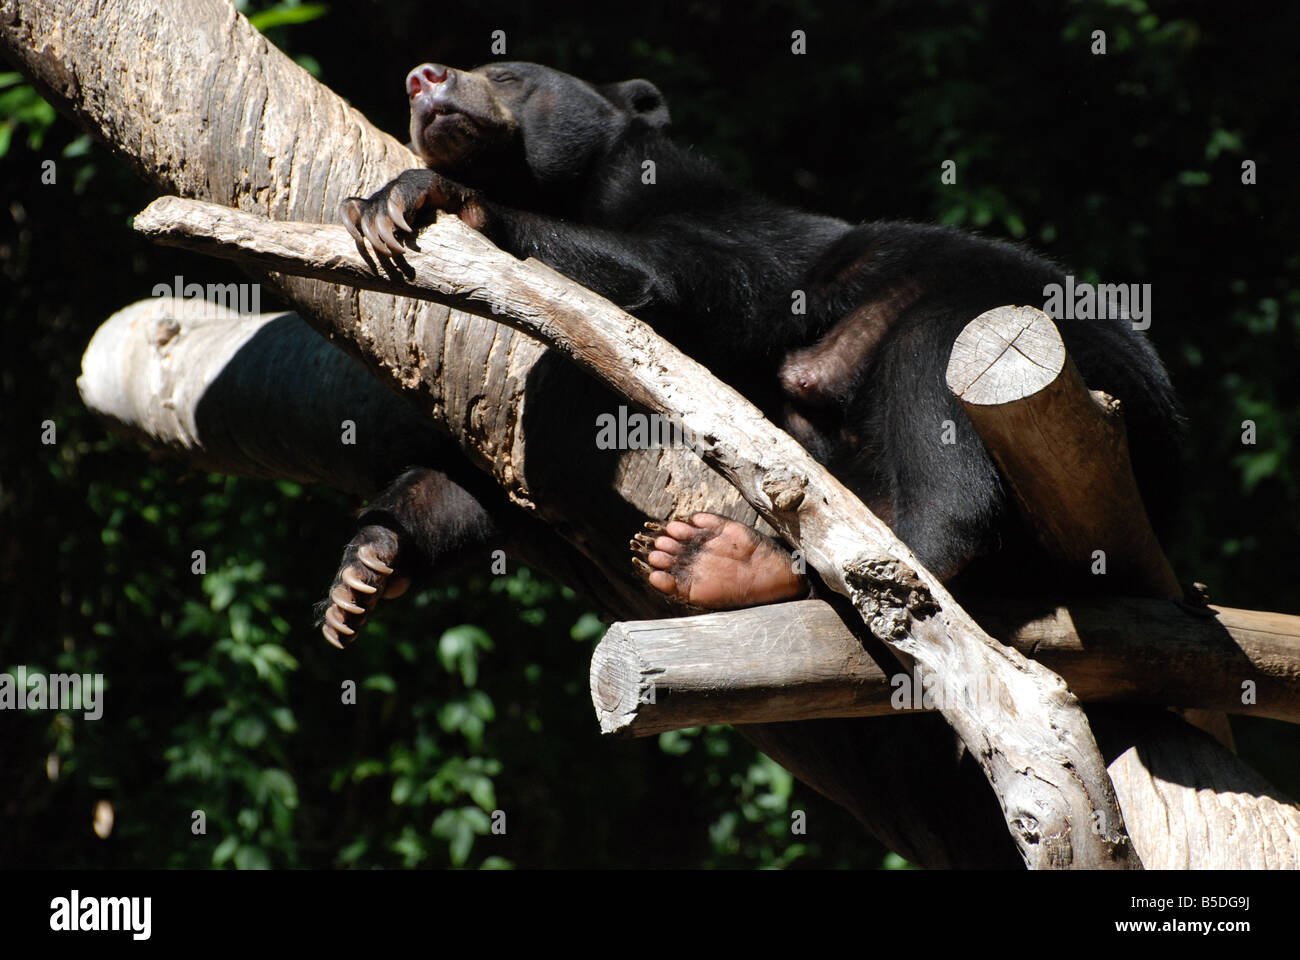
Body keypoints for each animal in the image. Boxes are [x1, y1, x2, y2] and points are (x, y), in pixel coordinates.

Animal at [320, 60, 1180, 646]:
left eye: (508, 74)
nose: (423, 77)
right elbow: (490, 468)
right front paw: (363, 572)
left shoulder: (742, 244)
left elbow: (668, 278)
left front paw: (414, 196)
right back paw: (713, 558)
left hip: (1053, 350)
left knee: (932, 384)